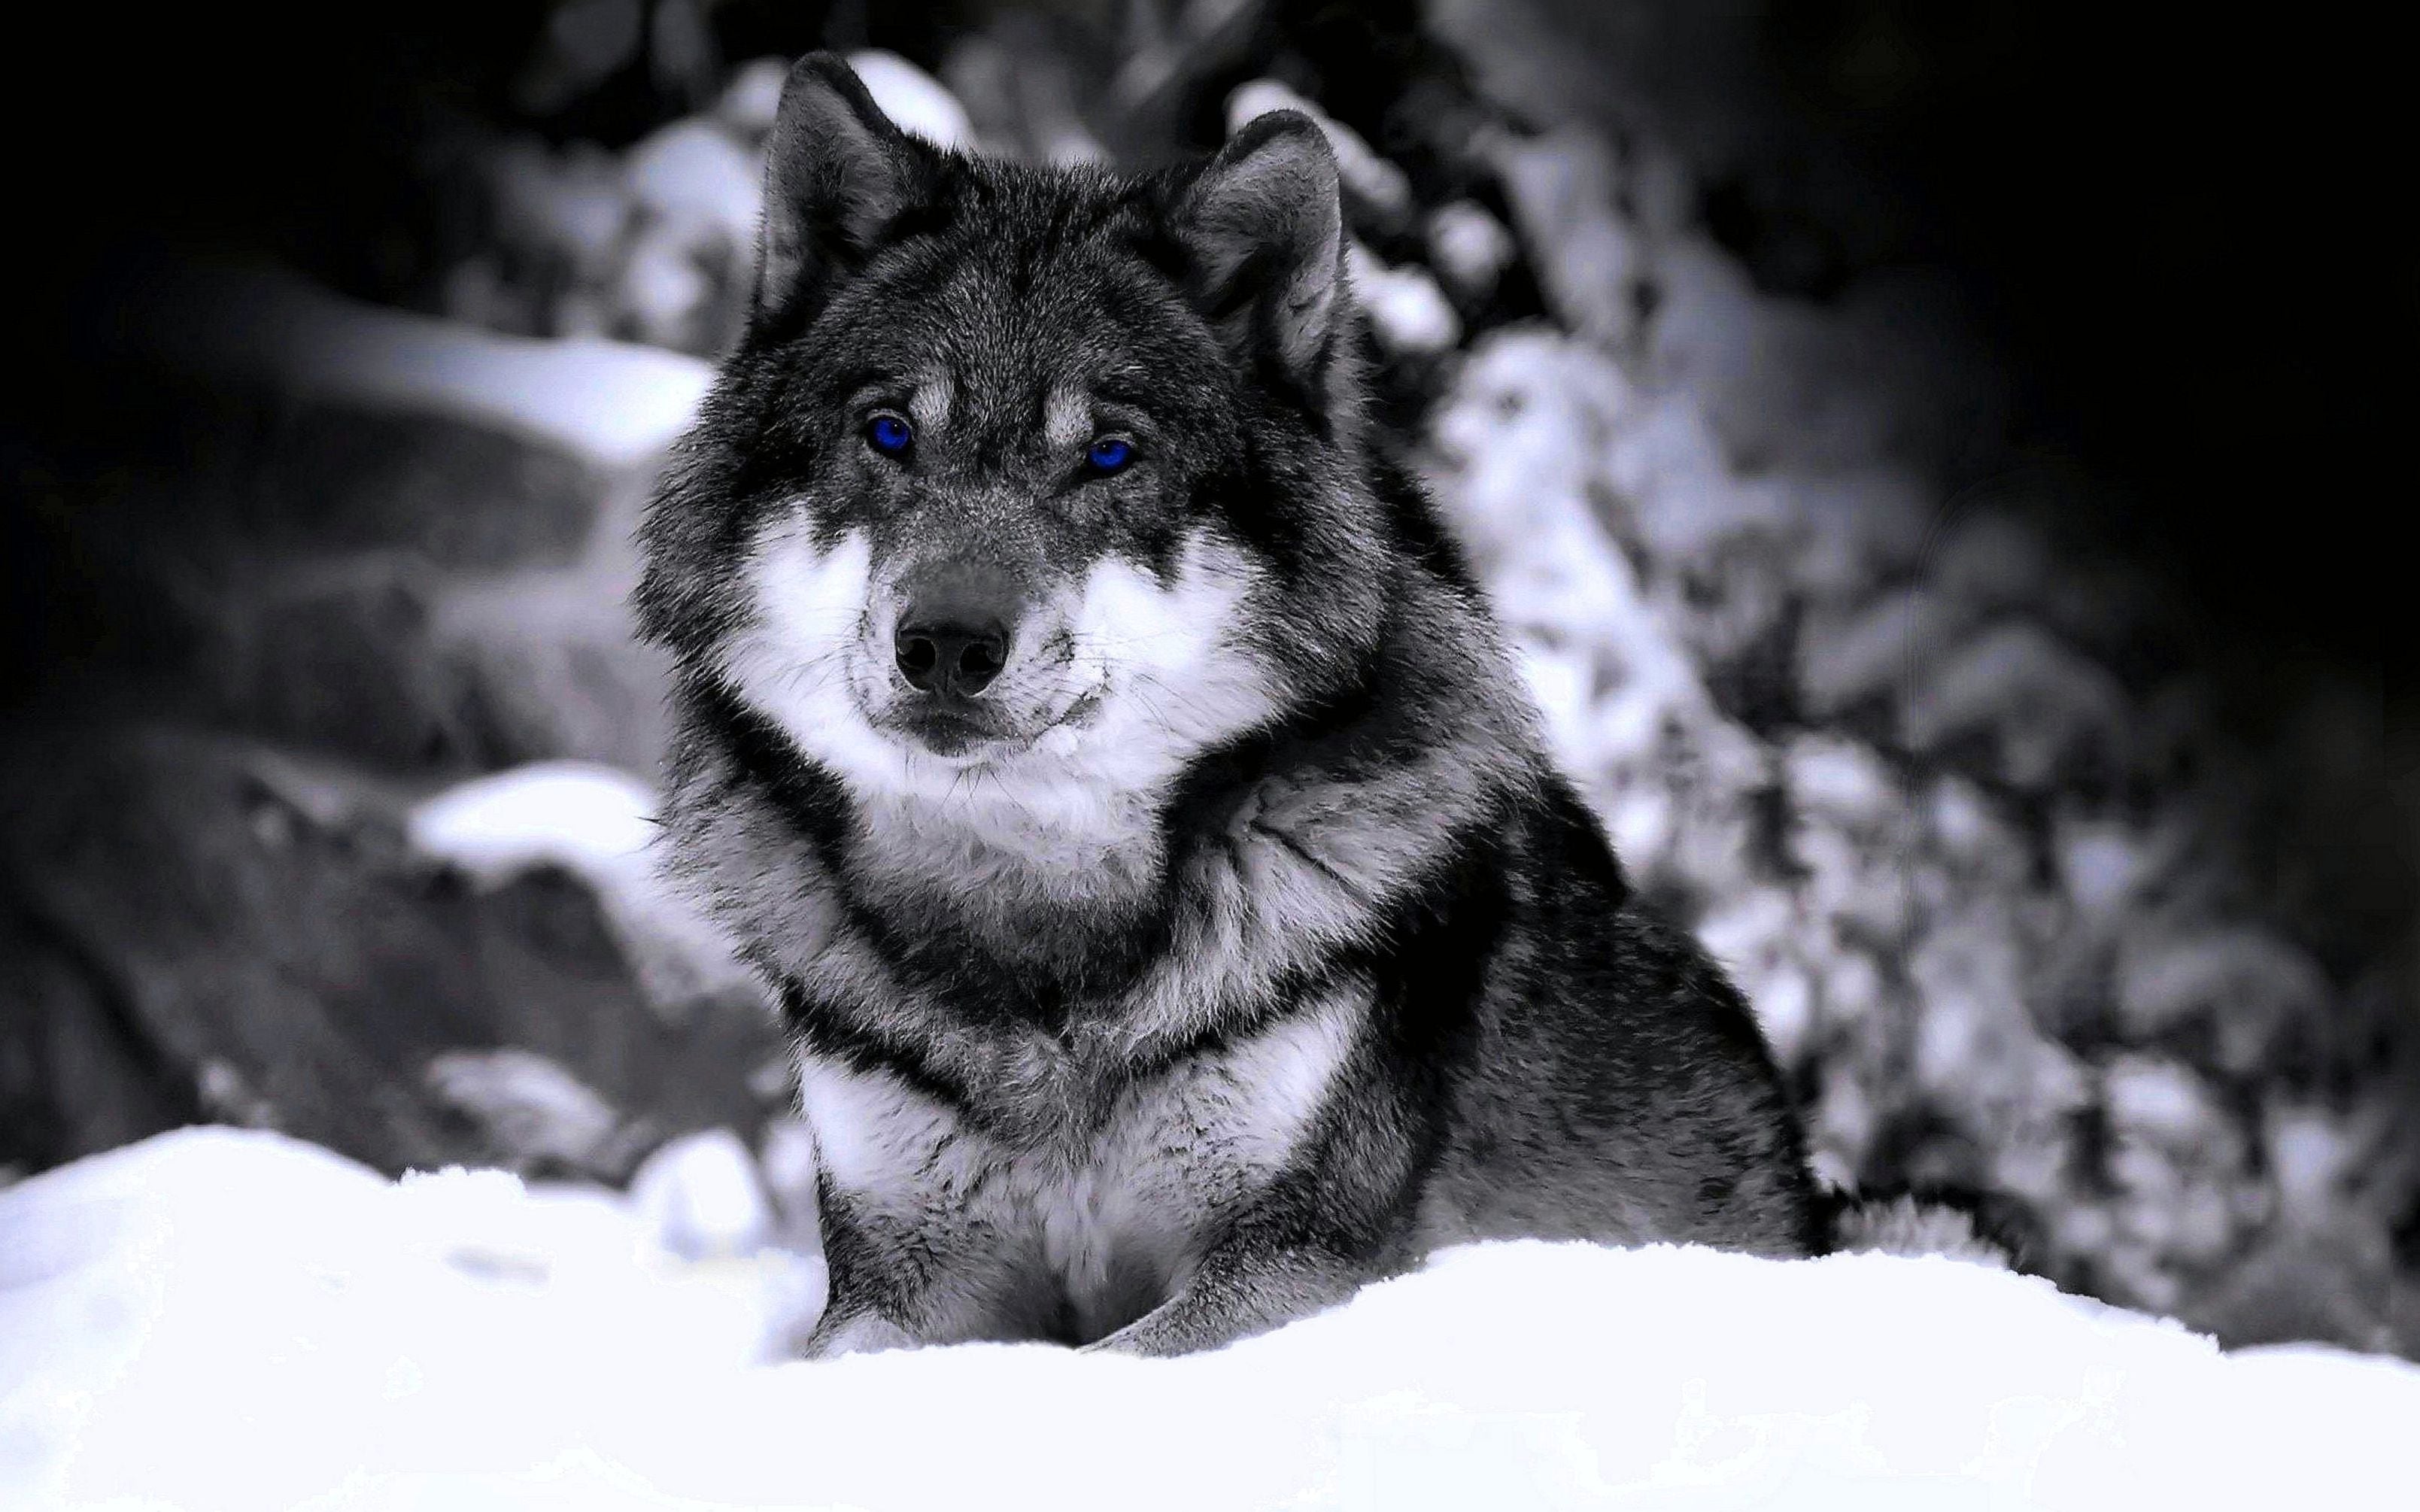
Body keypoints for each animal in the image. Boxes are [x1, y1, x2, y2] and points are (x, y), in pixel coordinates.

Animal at [635, 54, 1826, 1357]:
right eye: (890, 434)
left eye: (1109, 455)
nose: (945, 644)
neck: (1038, 953)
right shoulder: (897, 1276)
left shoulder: (1296, 1259)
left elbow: (1110, 1360)